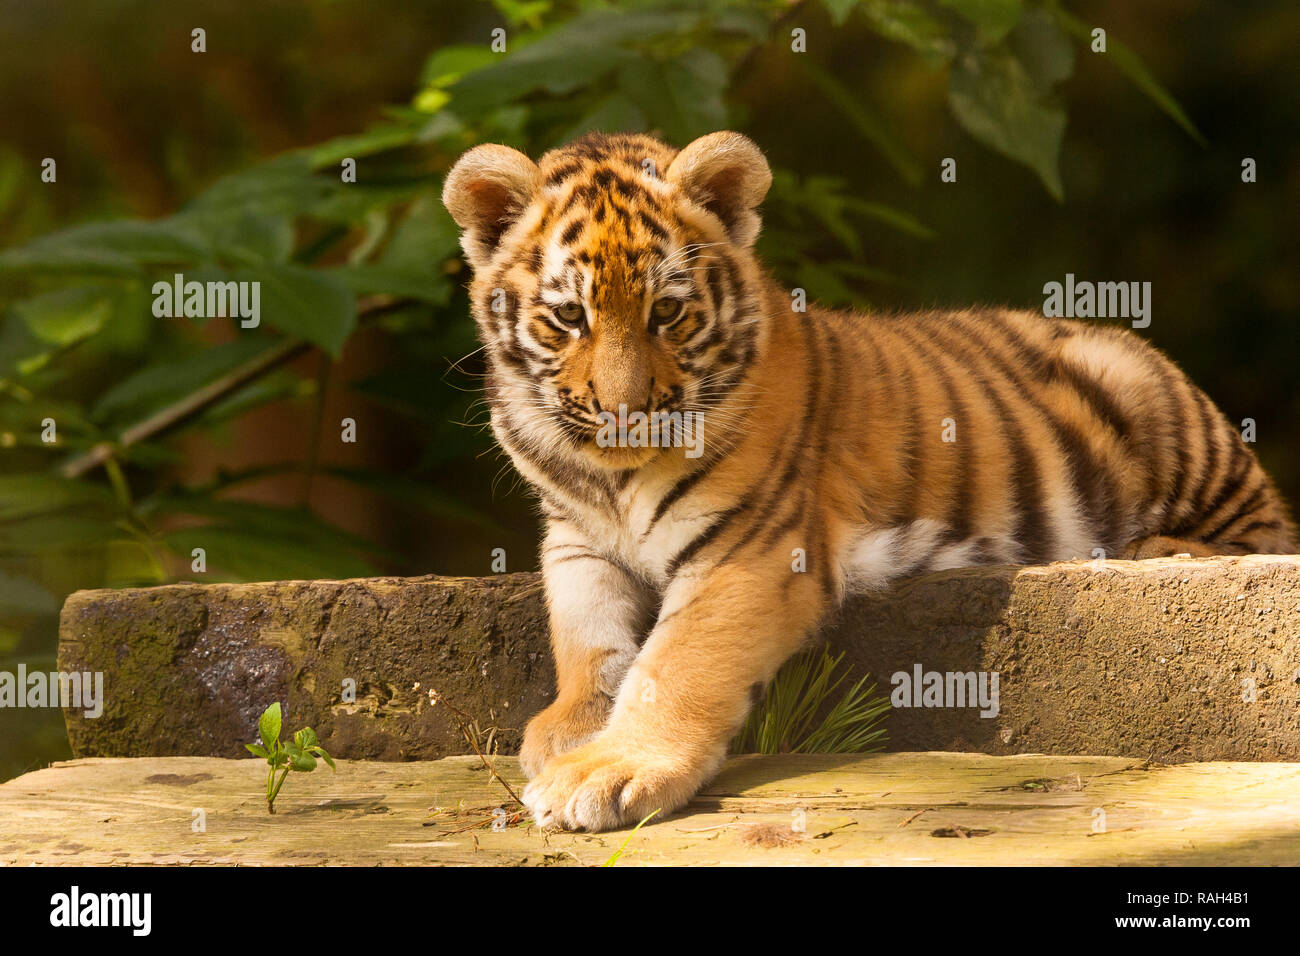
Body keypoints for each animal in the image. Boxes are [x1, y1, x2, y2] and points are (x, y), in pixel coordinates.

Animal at [441, 130, 1296, 831]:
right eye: (569, 319)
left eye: (670, 313)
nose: (624, 415)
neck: (610, 481)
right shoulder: (574, 537)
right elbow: (583, 633)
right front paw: (569, 724)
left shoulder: (747, 549)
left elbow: (675, 663)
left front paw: (606, 769)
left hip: (1142, 391)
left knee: (1267, 532)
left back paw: (1162, 551)